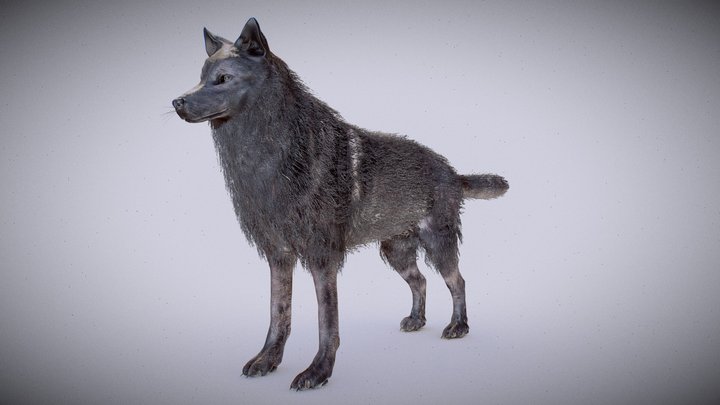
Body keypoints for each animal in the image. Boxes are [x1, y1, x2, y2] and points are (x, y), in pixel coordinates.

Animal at [173, 18, 508, 390]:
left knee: (457, 280)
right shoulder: (279, 255)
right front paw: (268, 360)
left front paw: (318, 372)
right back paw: (416, 320)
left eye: (223, 78)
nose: (177, 102)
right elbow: (279, 313)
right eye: (202, 76)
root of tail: (453, 172)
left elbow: (326, 320)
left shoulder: (322, 258)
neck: (274, 152)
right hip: (396, 250)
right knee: (420, 281)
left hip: (438, 243)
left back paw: (458, 326)